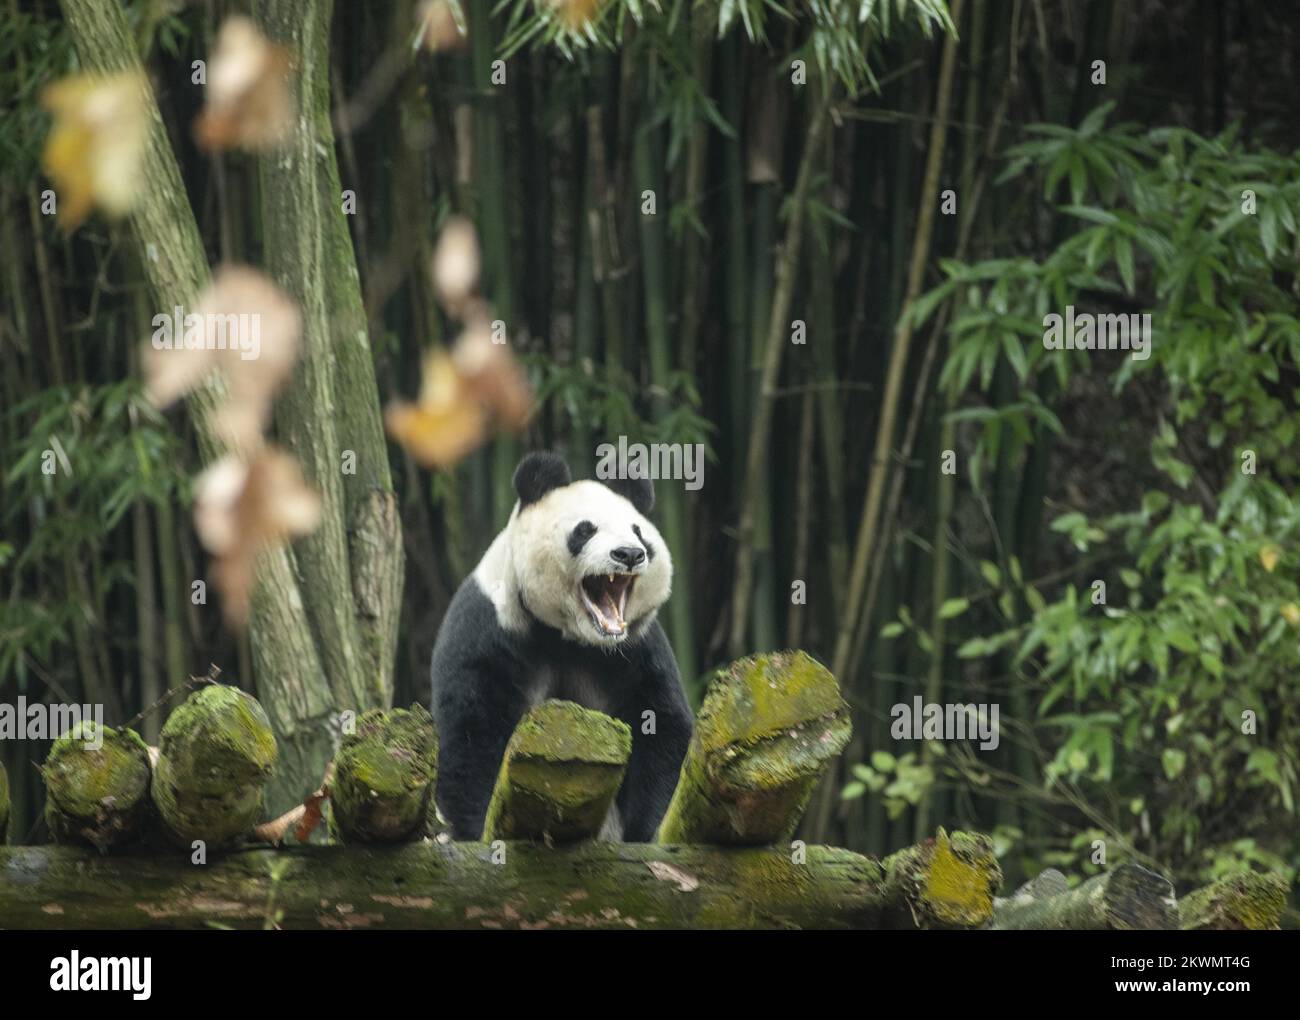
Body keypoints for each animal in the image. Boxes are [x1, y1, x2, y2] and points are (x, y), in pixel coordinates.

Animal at [430, 451, 693, 842]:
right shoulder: (490, 627)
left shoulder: (635, 647)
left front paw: (646, 830)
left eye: (638, 533)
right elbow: (473, 729)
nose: (629, 554)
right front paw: (474, 830)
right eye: (585, 530)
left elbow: (661, 725)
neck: (571, 636)